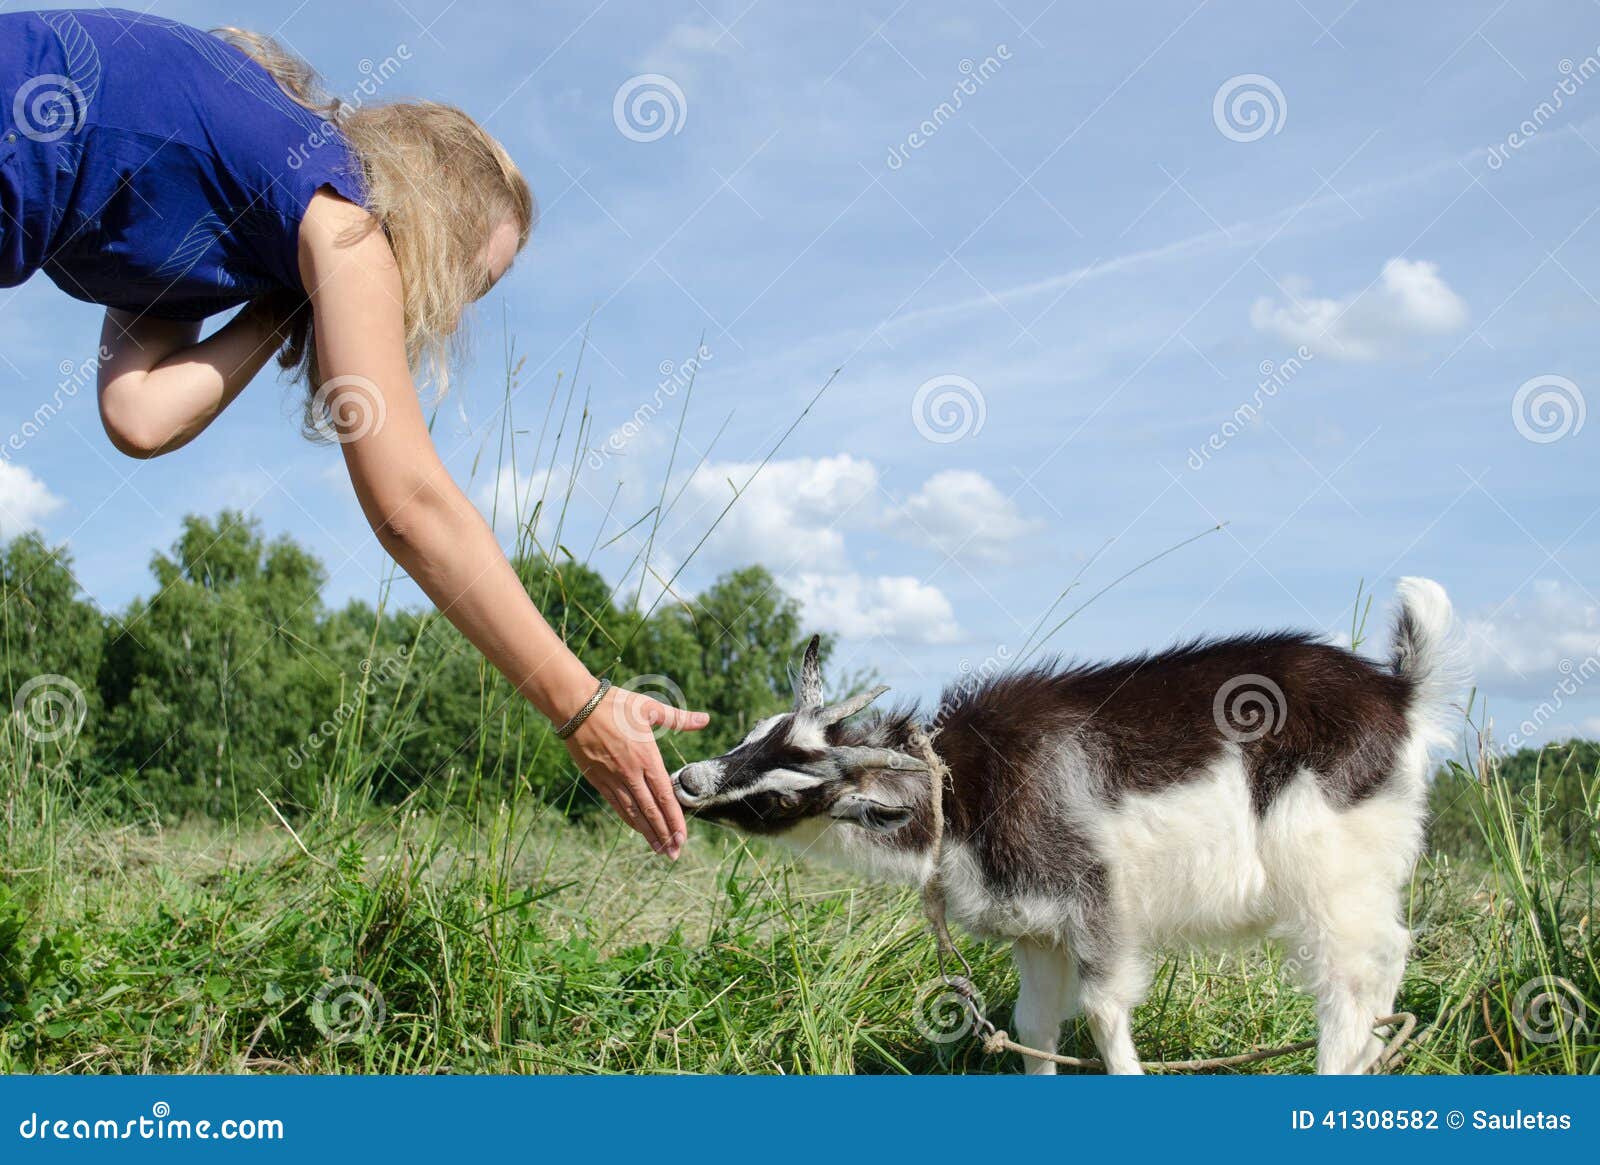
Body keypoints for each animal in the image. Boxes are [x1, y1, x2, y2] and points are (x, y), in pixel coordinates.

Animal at [672, 578, 1463, 1074]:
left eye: (783, 798)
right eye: (757, 731)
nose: (688, 782)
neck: (962, 789)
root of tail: (1399, 690)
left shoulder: (1095, 904)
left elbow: (1106, 1017)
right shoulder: (1037, 930)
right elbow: (1035, 1029)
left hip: (1329, 867)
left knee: (1348, 981)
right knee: (1386, 959)